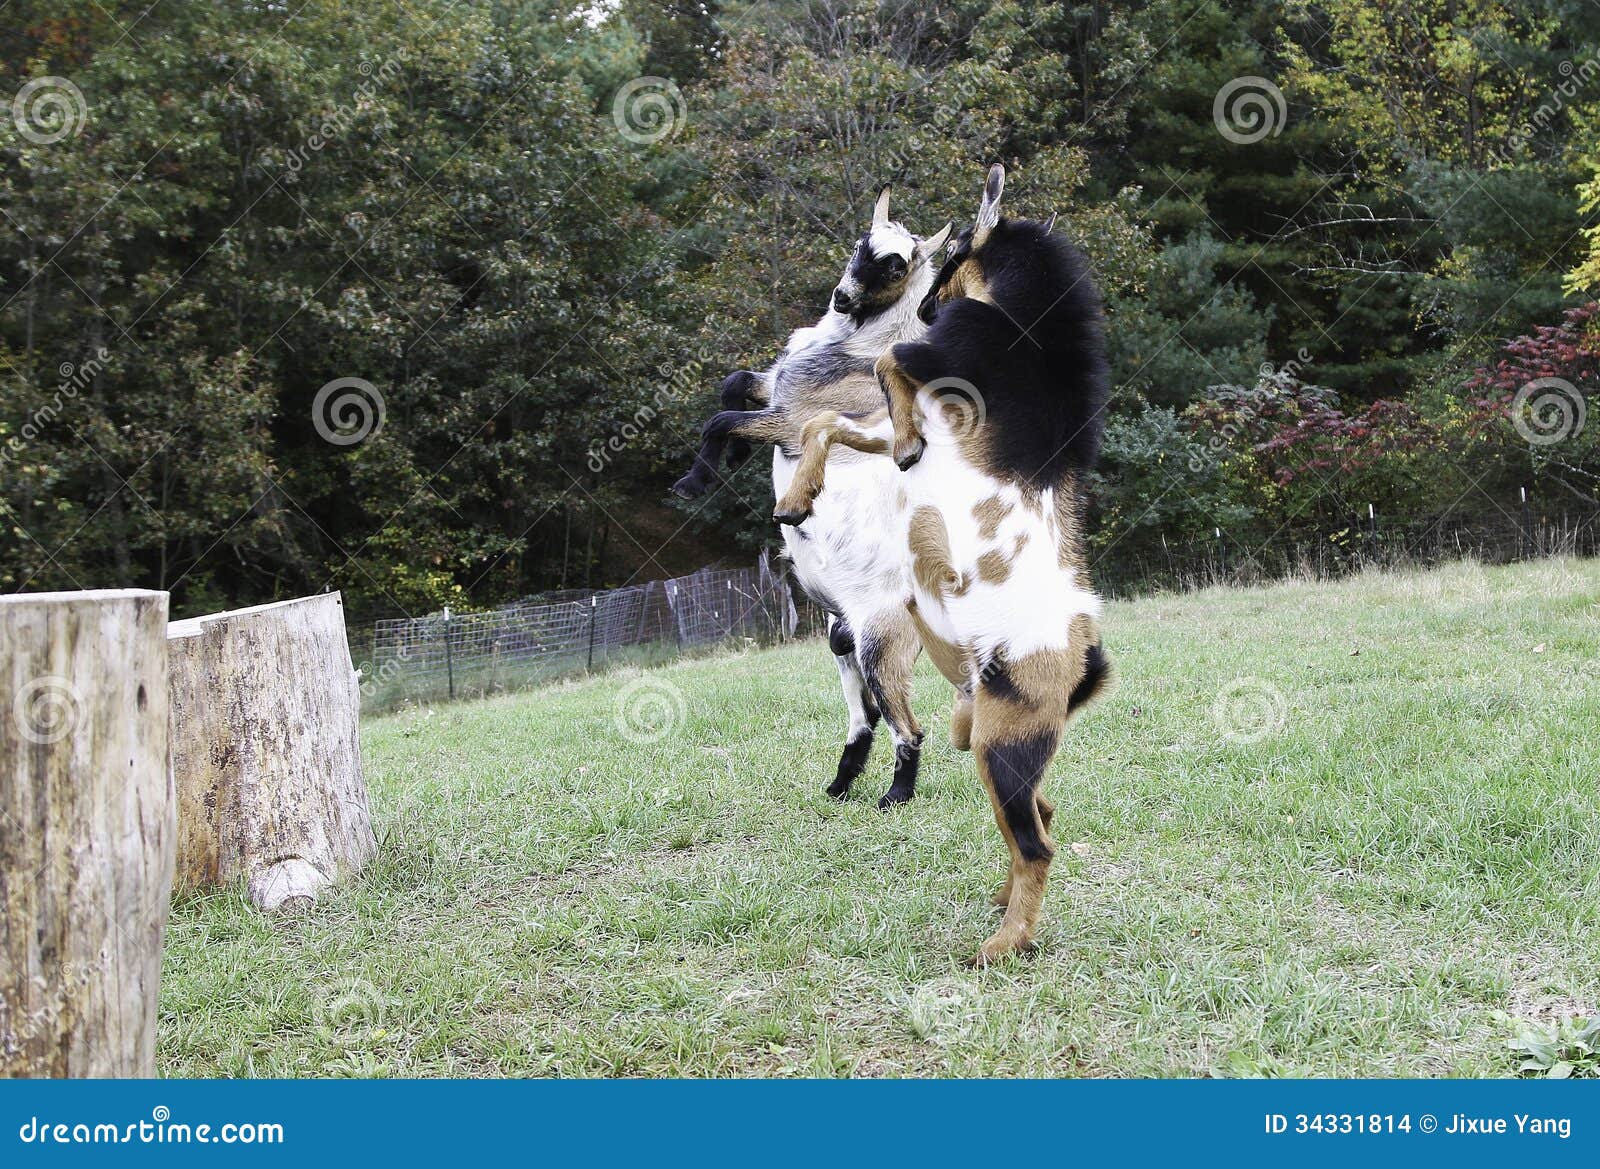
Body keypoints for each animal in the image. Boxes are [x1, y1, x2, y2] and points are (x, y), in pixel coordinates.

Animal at [671, 187, 953, 808]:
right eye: (860, 243)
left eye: (897, 265)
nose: (842, 297)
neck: (853, 346)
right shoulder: (774, 392)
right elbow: (733, 384)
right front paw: (727, 461)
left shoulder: (789, 420)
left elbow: (721, 418)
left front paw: (695, 482)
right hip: (839, 639)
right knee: (863, 720)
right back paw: (841, 785)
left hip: (877, 644)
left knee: (907, 726)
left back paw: (895, 795)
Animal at [773, 165, 1113, 963]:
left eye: (943, 251)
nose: (923, 307)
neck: (1027, 323)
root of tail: (1084, 660)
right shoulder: (896, 411)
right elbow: (825, 422)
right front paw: (800, 496)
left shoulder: (928, 363)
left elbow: (883, 364)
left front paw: (892, 440)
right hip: (987, 741)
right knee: (1043, 815)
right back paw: (1001, 907)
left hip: (1002, 747)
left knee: (1036, 843)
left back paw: (1003, 943)